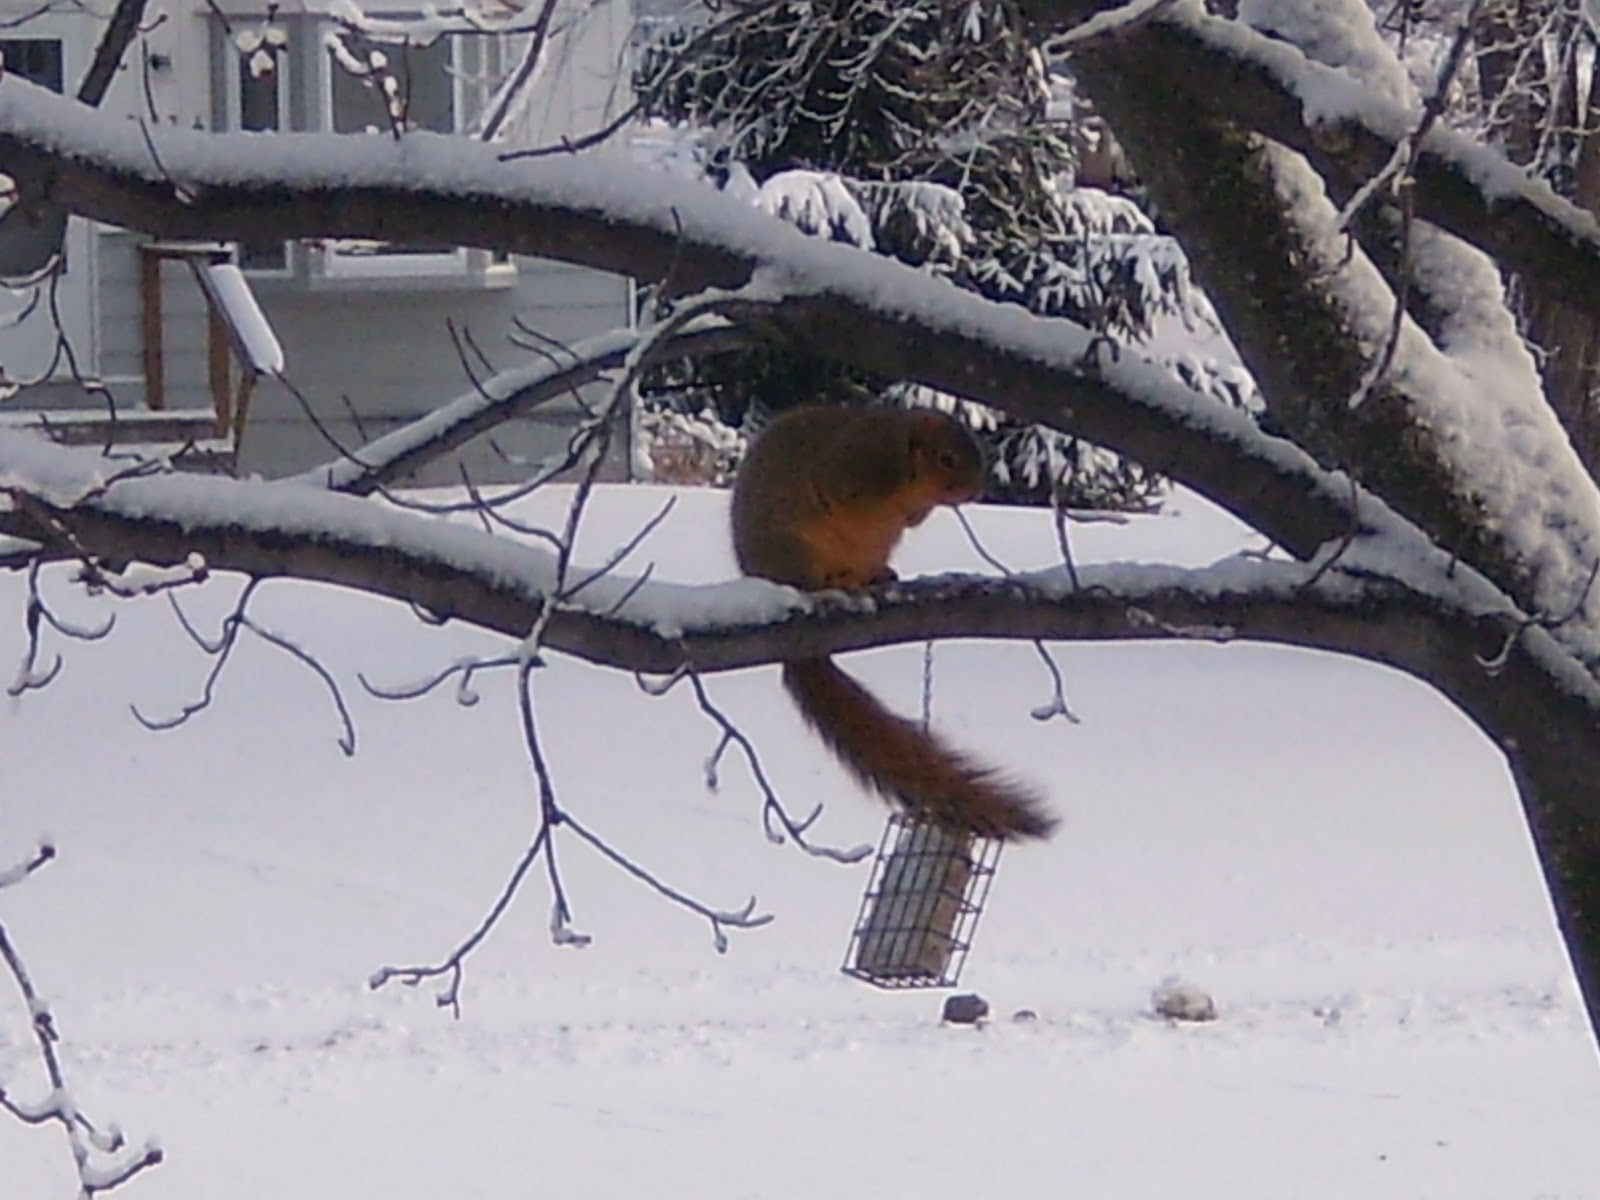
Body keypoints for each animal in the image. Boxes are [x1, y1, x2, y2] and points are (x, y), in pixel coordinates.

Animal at [731, 405, 1057, 841]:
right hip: (794, 548)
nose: (972, 493)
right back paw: (835, 586)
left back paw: (877, 577)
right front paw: (905, 509)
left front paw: (915, 514)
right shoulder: (855, 468)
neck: (902, 462)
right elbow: (852, 497)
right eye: (947, 459)